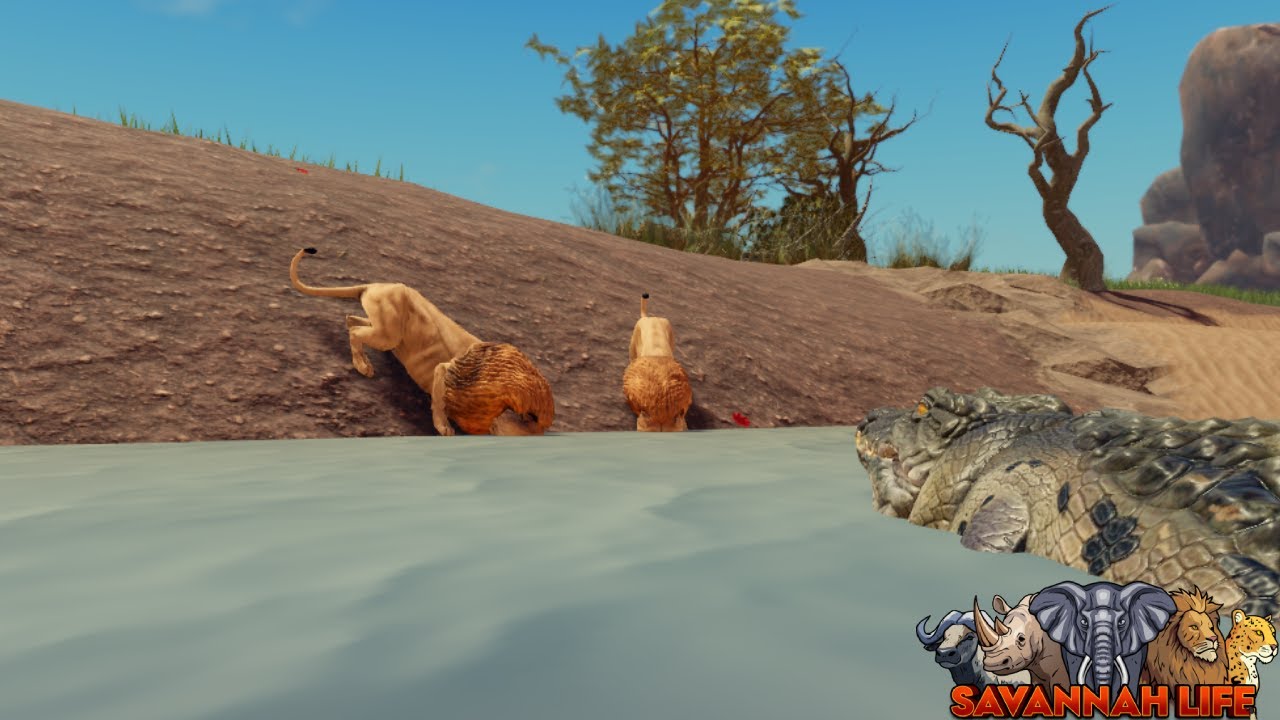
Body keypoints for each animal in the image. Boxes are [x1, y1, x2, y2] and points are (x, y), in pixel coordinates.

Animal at [288, 247, 554, 436]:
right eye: (530, 419)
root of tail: (376, 285)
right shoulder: (448, 372)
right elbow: (438, 400)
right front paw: (444, 429)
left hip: (384, 327)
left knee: (351, 320)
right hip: (389, 331)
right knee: (355, 330)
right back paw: (364, 366)